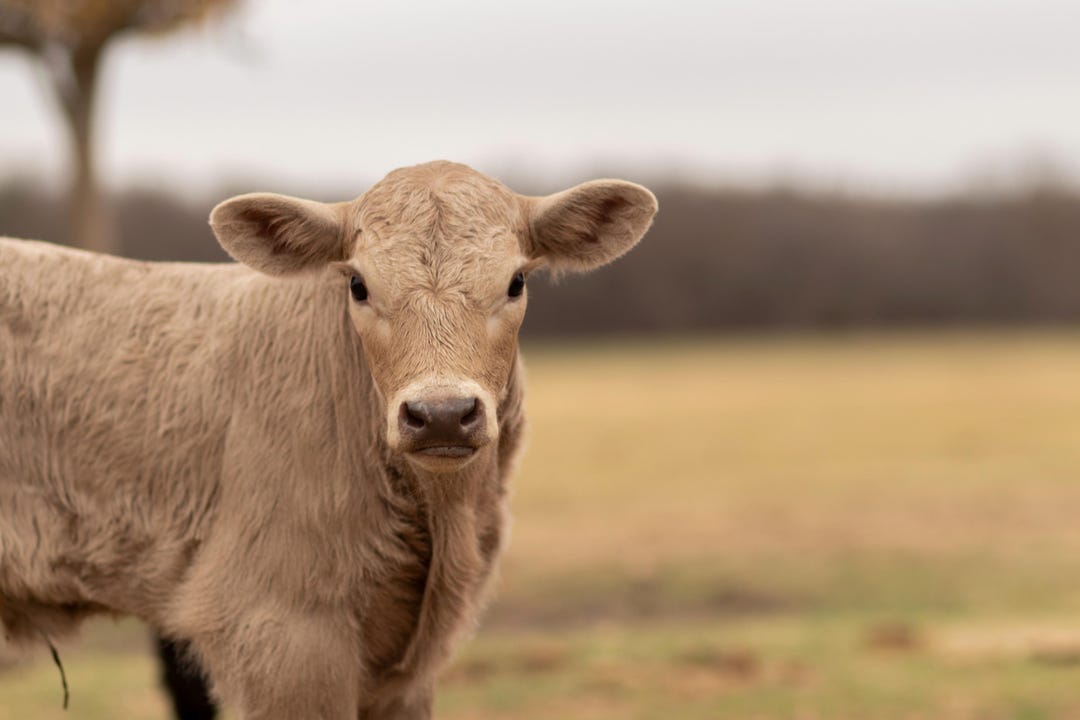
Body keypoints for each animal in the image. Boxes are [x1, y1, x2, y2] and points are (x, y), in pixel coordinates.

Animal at [0, 160, 657, 718]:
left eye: (517, 281)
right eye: (358, 285)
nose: (442, 414)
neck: (440, 520)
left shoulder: (406, 675)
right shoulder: (283, 632)